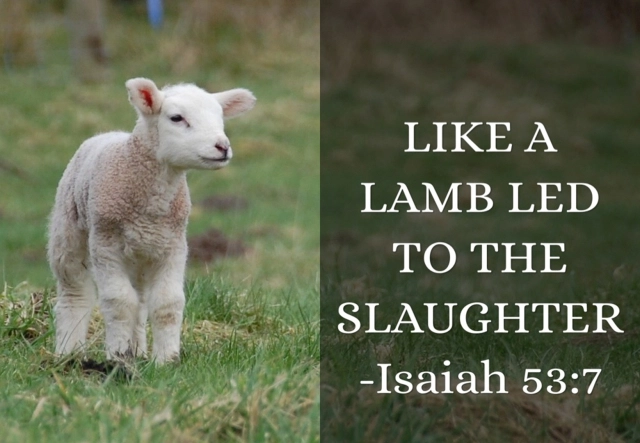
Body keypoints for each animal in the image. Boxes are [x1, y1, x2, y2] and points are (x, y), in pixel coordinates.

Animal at [47, 77, 256, 364]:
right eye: (177, 118)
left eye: (220, 116)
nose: (222, 147)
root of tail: (107, 133)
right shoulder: (105, 245)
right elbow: (119, 302)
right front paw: (117, 356)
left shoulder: (173, 246)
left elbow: (168, 303)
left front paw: (166, 360)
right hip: (68, 230)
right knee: (74, 291)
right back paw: (69, 352)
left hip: (141, 255)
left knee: (141, 300)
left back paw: (137, 350)